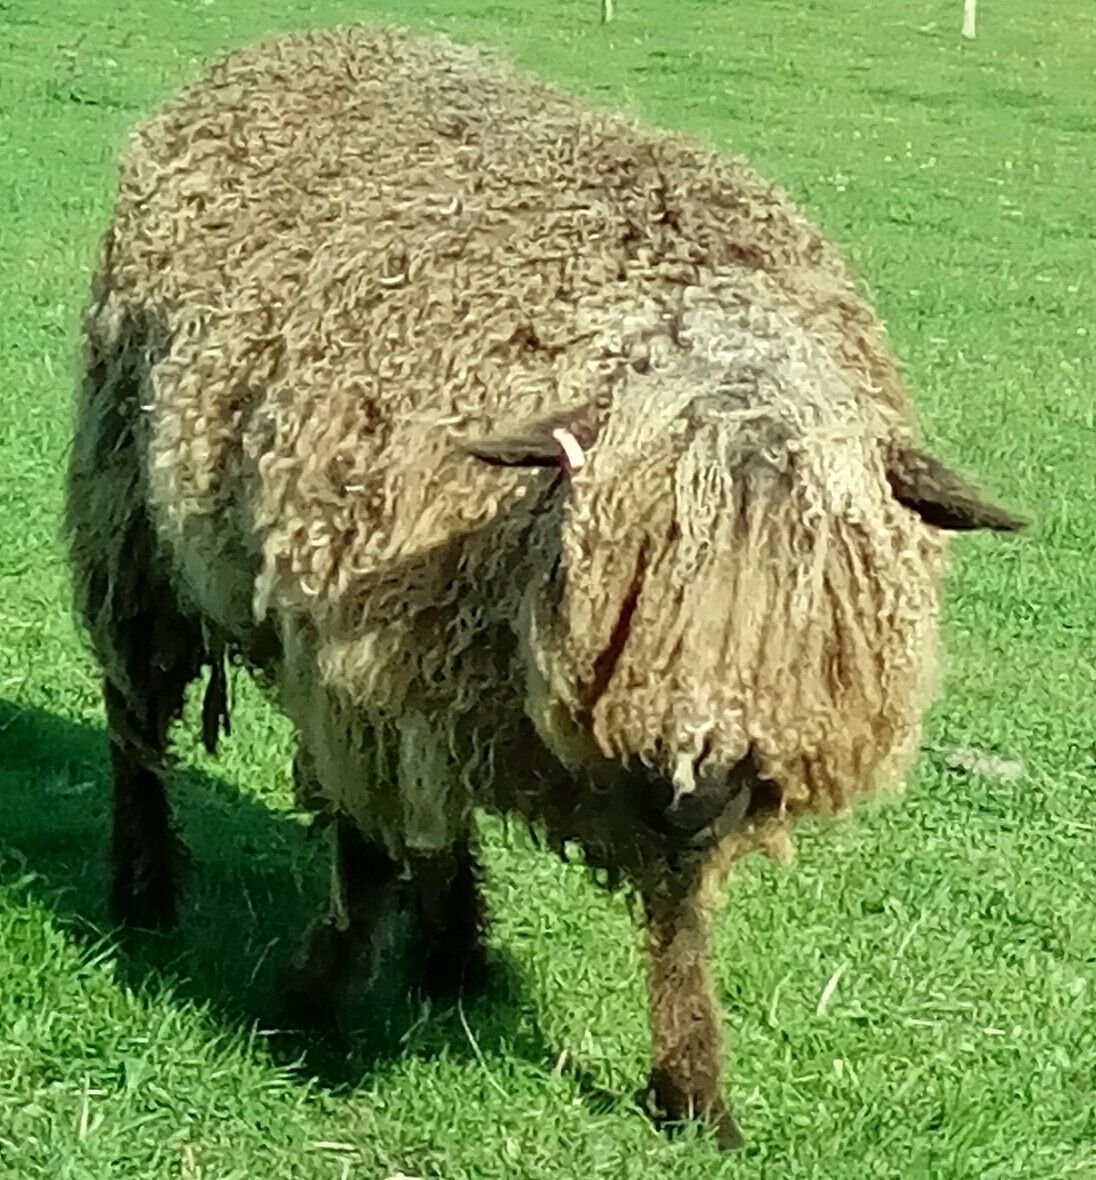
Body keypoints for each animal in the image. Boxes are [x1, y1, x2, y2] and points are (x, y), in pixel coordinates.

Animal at [62, 23, 1024, 1149]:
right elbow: (365, 857)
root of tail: (302, 36)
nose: (697, 783)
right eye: (631, 567)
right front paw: (310, 1006)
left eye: (820, 596)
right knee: (137, 714)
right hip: (127, 513)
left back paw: (456, 954)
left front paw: (692, 1090)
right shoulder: (362, 675)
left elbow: (678, 921)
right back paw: (145, 886)